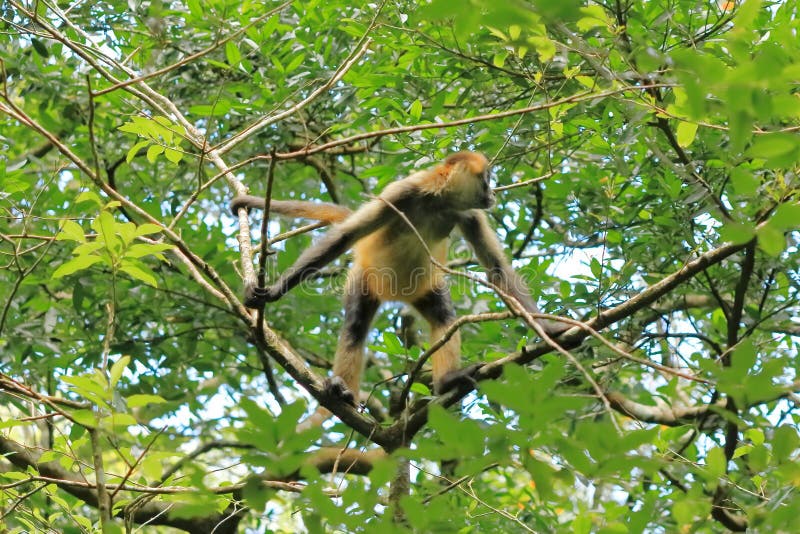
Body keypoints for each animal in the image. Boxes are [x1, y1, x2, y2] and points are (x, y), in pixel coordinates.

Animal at [231, 151, 566, 419]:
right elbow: (344, 236)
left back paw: (447, 381)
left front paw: (549, 330)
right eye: (486, 180)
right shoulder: (401, 193)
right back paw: (342, 390)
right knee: (355, 326)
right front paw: (273, 292)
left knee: (444, 316)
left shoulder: (468, 213)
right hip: (364, 278)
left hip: (424, 289)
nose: (493, 193)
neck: (438, 203)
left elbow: (497, 269)